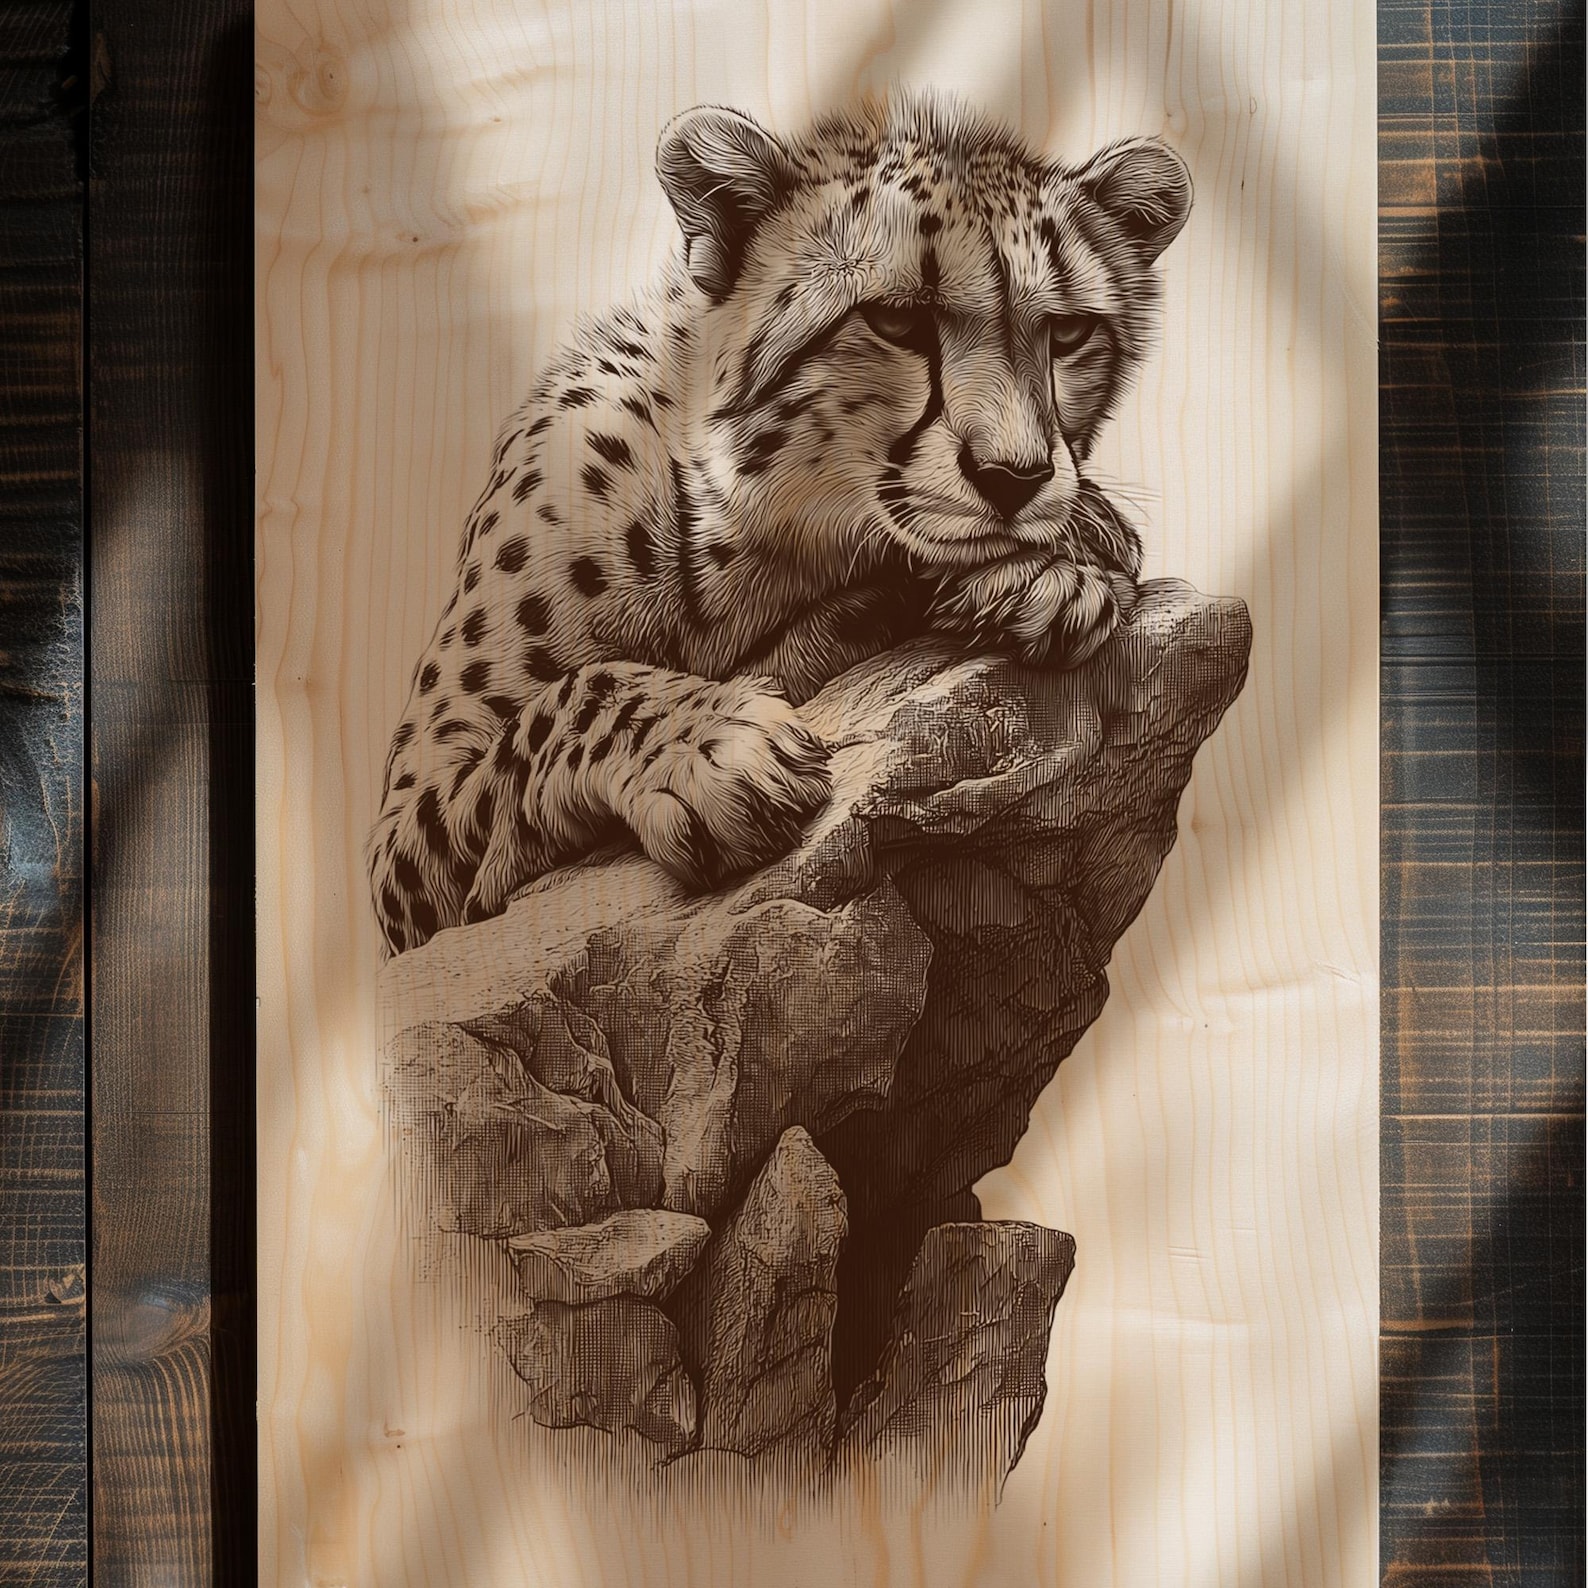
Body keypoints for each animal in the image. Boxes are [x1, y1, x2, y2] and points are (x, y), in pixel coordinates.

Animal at [369, 89, 1192, 956]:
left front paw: (1052, 563)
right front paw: (707, 748)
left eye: (1069, 333)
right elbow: (574, 697)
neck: (766, 529)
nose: (1015, 477)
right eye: (896, 322)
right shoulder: (404, 851)